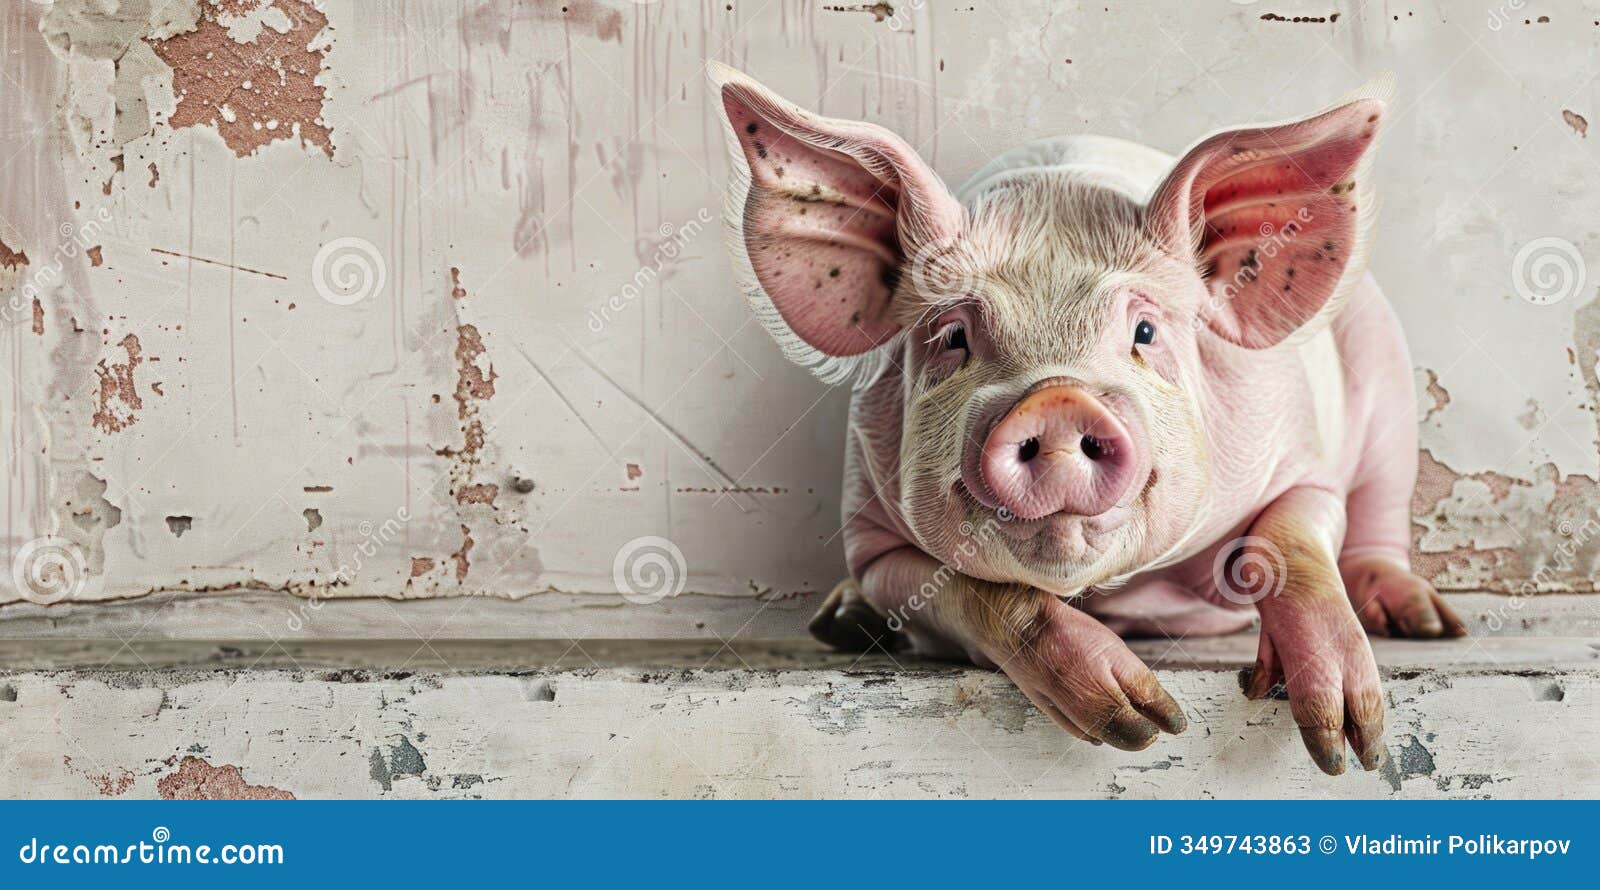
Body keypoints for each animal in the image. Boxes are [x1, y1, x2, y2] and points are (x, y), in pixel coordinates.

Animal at [709, 63, 1466, 775]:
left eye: (1145, 332)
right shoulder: (871, 527)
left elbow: (1295, 542)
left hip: (1386, 370)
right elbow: (978, 594)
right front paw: (1145, 721)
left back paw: (1429, 624)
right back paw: (841, 621)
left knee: (1378, 514)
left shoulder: (1299, 457)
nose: (1056, 400)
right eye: (953, 337)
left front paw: (1348, 745)